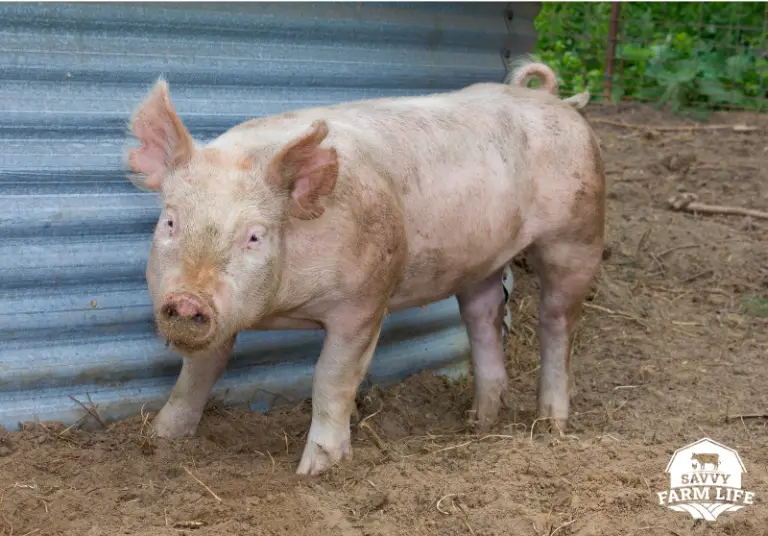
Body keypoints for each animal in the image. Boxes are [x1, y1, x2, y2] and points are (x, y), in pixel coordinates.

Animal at [124, 59, 605, 476]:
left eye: (255, 236)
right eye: (170, 222)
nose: (188, 300)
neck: (281, 309)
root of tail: (554, 100)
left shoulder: (365, 301)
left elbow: (331, 379)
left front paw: (315, 470)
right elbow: (199, 372)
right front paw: (160, 437)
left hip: (576, 236)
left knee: (557, 323)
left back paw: (550, 426)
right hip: (482, 260)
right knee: (483, 319)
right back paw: (478, 423)